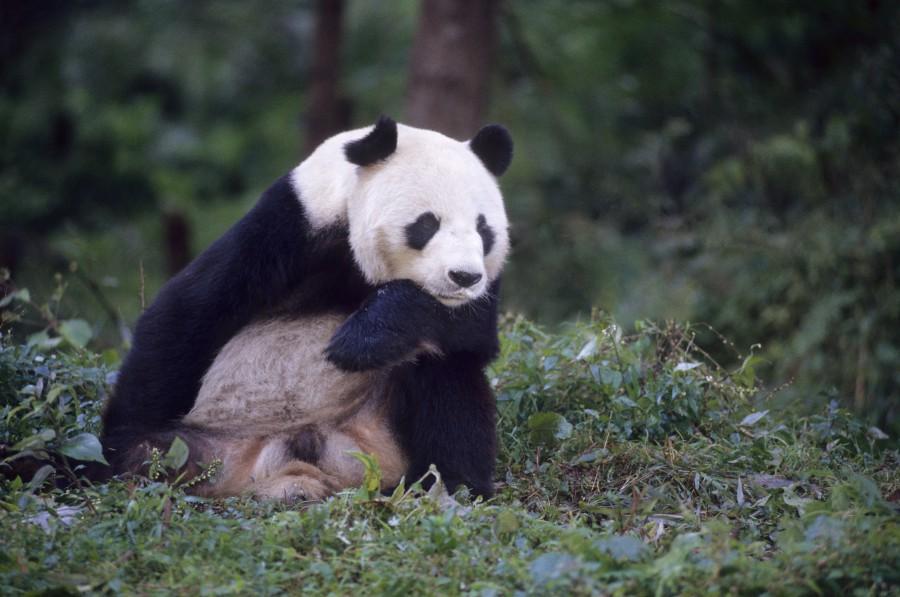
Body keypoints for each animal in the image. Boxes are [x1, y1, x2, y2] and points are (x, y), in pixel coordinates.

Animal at [99, 116, 513, 501]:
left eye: (484, 229)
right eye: (426, 224)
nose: (464, 276)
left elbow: (471, 332)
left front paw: (363, 339)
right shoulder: (291, 226)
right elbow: (189, 312)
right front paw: (115, 448)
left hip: (379, 439)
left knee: (445, 373)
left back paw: (451, 485)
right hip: (215, 443)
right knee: (167, 449)